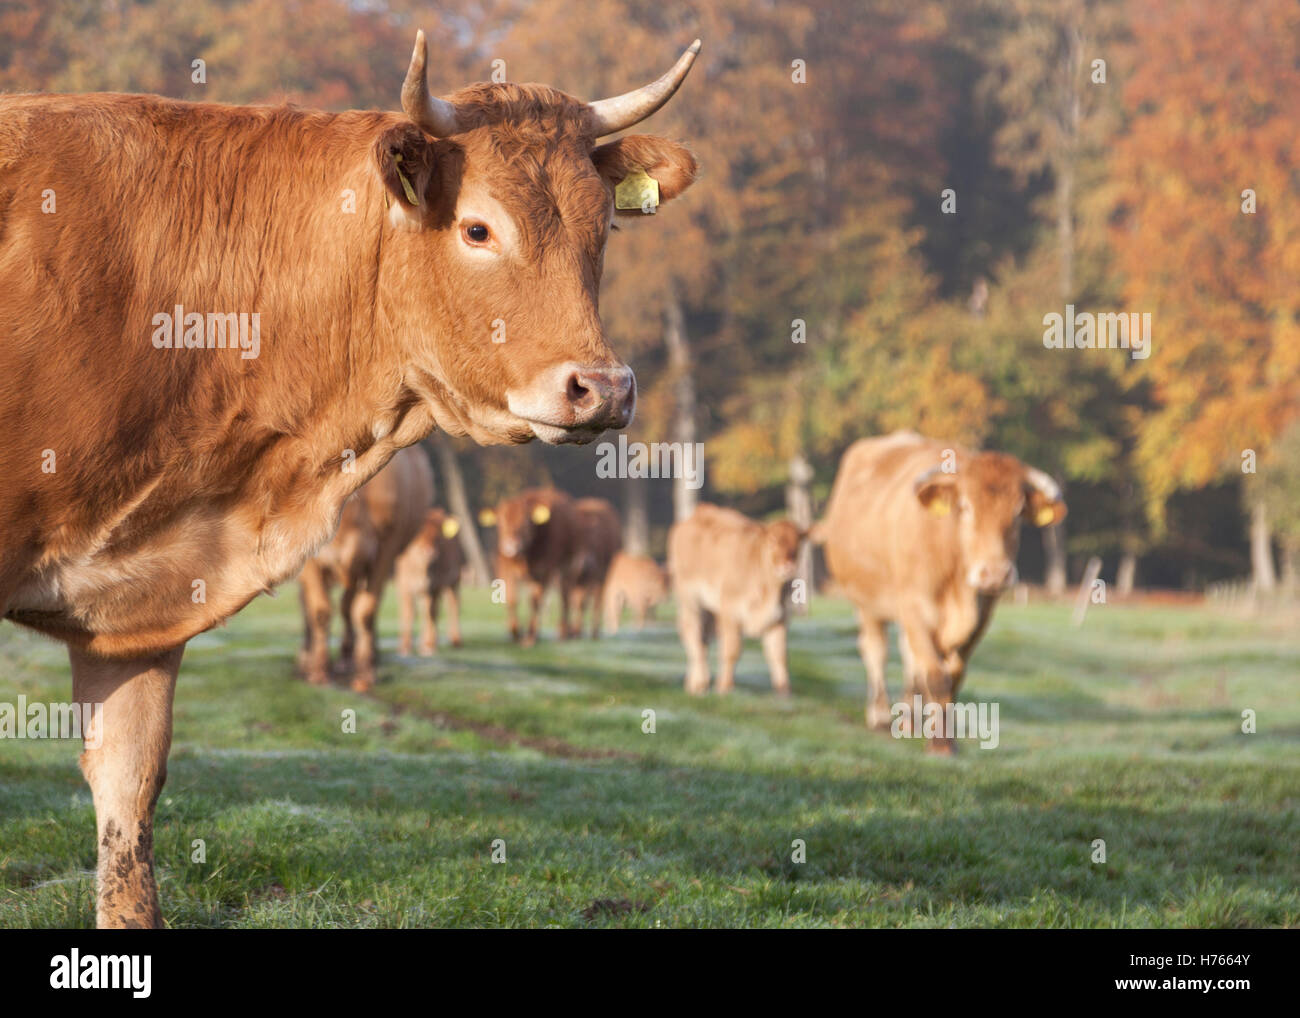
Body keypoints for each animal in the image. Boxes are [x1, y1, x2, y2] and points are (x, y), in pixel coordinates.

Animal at [298, 445, 434, 690]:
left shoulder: (385, 549)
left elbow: (365, 611)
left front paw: (366, 674)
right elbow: (320, 611)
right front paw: (319, 671)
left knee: (350, 606)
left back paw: (355, 658)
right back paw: (306, 659)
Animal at [395, 507, 467, 655]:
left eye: (437, 535)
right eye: (417, 534)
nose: (429, 552)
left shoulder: (434, 586)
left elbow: (431, 614)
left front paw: (428, 646)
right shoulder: (404, 586)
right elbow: (408, 613)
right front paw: (405, 647)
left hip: (454, 580)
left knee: (453, 605)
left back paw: (455, 640)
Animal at [667, 505, 805, 695]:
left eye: (798, 543)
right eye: (772, 540)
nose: (788, 565)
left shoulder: (780, 619)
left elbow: (779, 654)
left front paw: (784, 690)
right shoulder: (730, 613)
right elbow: (732, 651)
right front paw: (724, 687)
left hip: (710, 611)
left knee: (703, 640)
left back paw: (694, 681)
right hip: (690, 601)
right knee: (692, 635)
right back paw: (699, 683)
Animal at [816, 431, 1067, 754]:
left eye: (1018, 511)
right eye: (965, 507)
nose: (995, 573)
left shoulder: (980, 618)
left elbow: (953, 676)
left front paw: (945, 737)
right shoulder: (915, 609)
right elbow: (936, 676)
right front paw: (939, 745)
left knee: (910, 660)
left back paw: (908, 720)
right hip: (866, 602)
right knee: (876, 651)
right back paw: (880, 715)